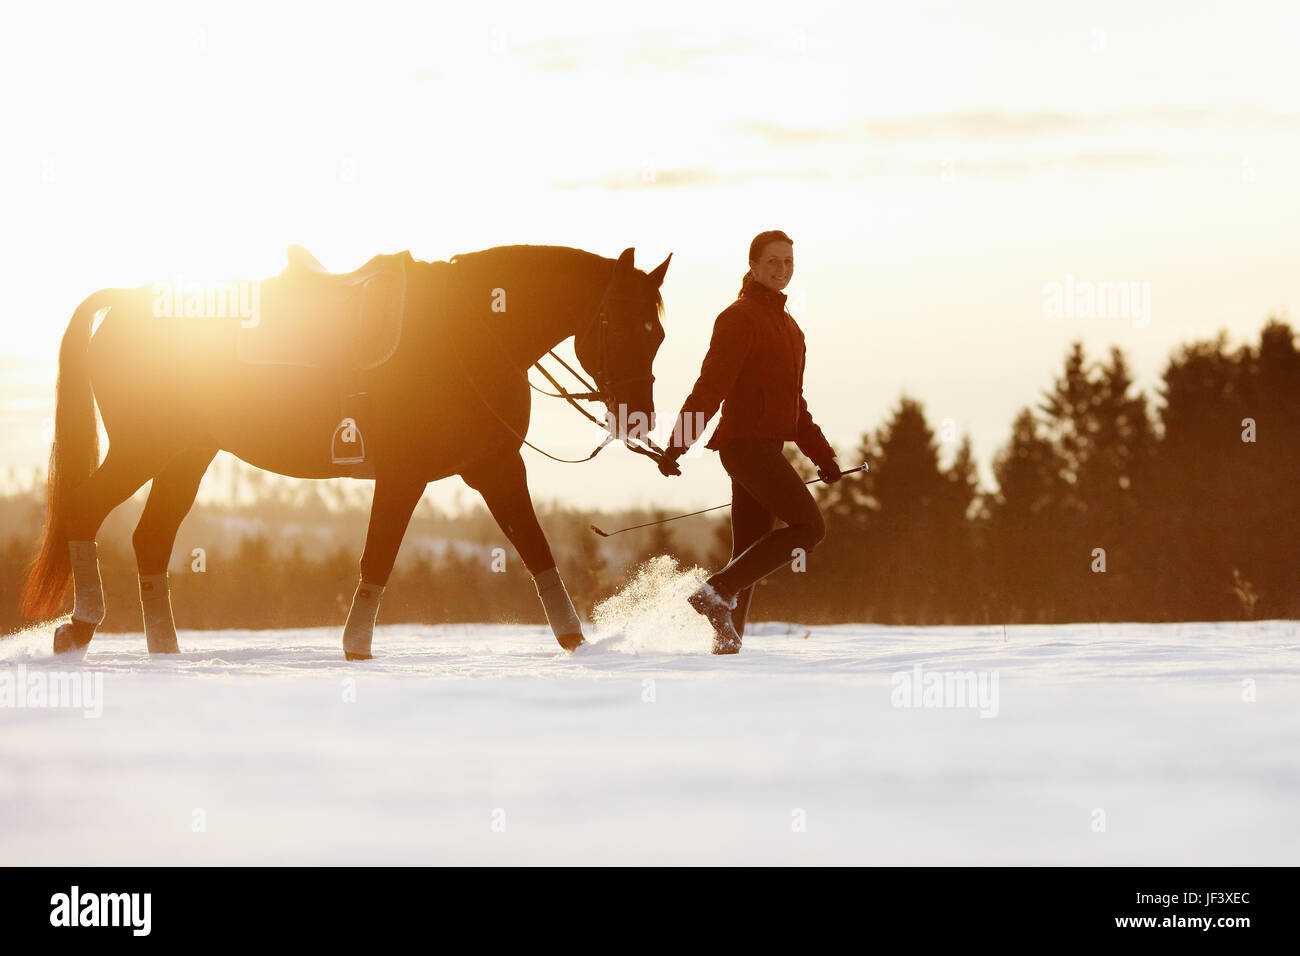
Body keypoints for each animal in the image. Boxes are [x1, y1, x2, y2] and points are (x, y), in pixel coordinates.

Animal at [19, 244, 670, 658]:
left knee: (150, 537)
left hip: (188, 454)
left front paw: (576, 642)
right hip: (145, 446)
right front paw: (356, 647)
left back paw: (167, 651)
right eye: (619, 323)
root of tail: (130, 297)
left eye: (659, 332)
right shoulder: (407, 475)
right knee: (85, 508)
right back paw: (80, 627)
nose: (637, 418)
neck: (469, 331)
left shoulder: (494, 467)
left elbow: (537, 550)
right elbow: (377, 556)